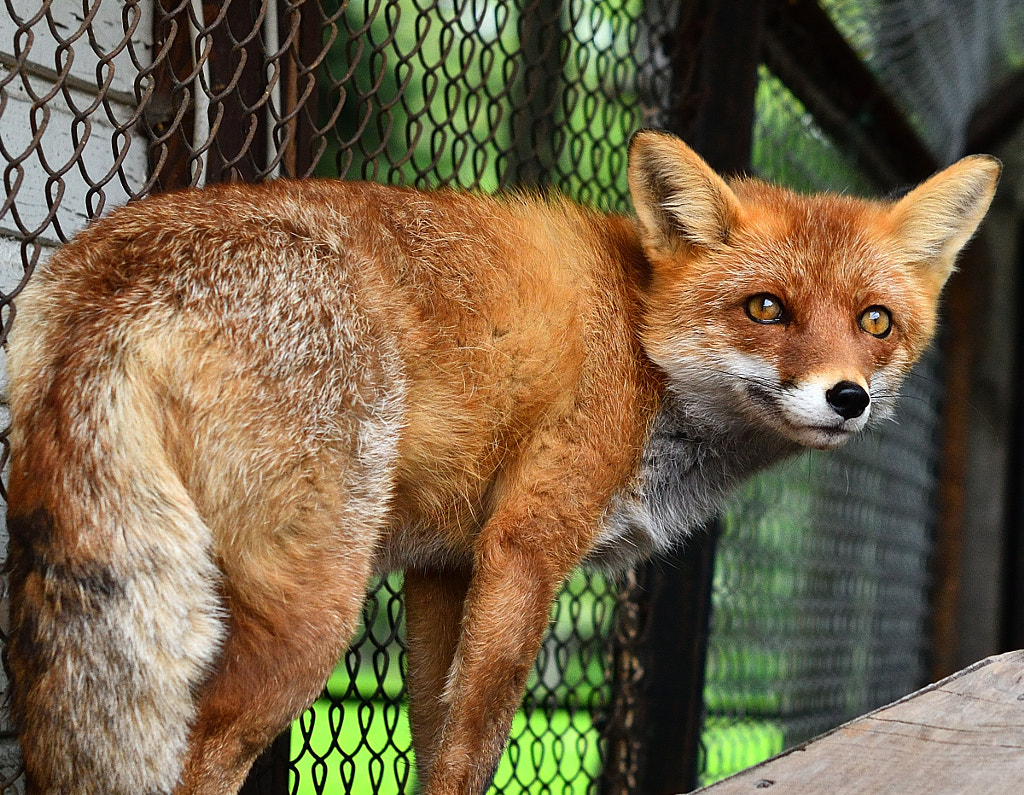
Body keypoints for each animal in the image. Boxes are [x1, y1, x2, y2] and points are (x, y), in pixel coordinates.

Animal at [4, 130, 999, 795]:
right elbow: (476, 742)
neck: (642, 349)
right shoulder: (526, 542)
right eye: (766, 308)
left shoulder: (446, 565)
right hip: (310, 612)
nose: (847, 397)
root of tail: (119, 273)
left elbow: (434, 731)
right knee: (202, 747)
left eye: (875, 321)